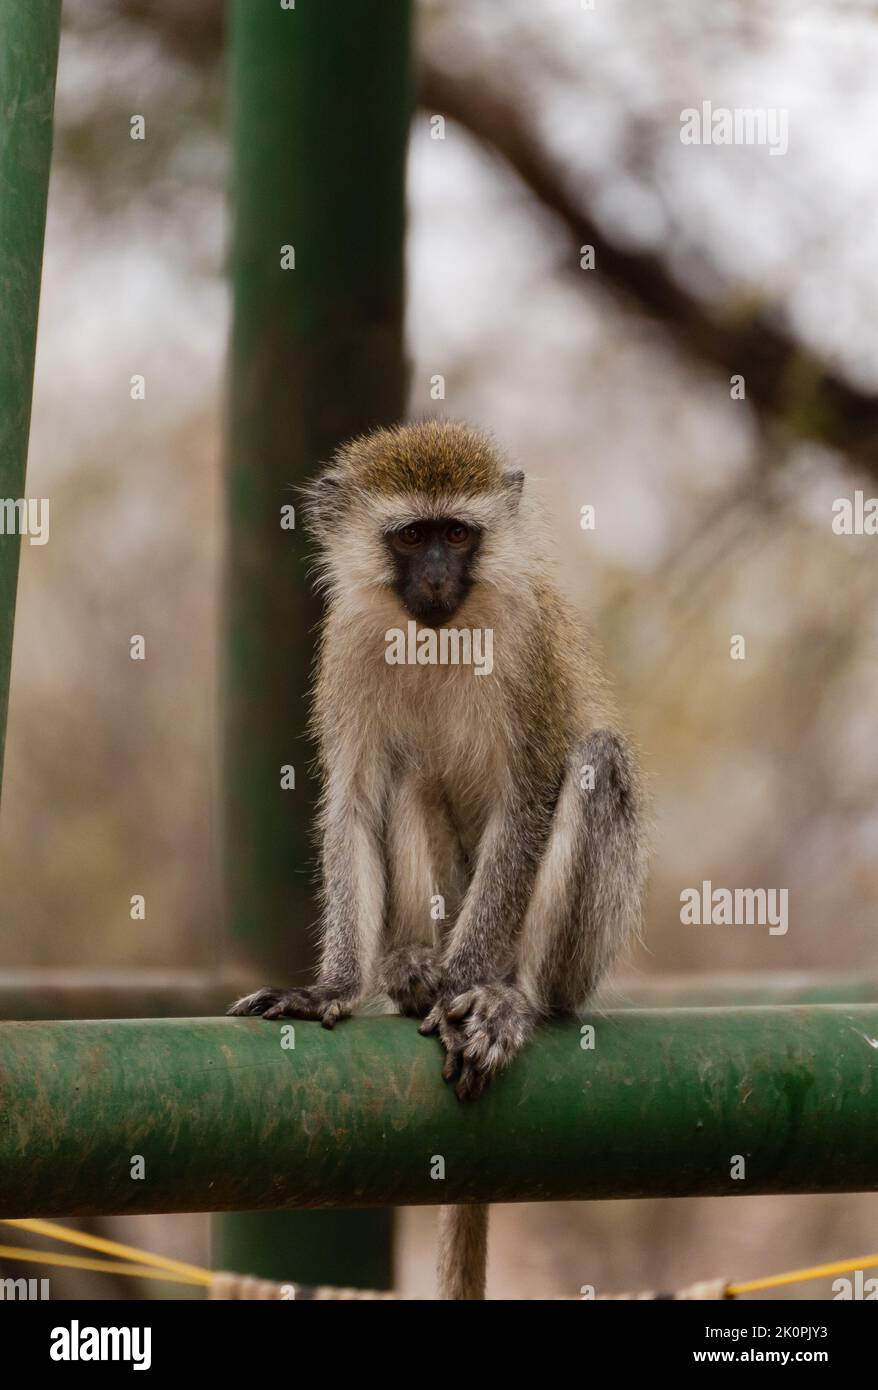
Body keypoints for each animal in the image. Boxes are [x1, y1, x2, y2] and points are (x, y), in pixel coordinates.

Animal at [229, 420, 647, 1299]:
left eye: (456, 535)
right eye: (410, 537)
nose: (432, 578)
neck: (438, 632)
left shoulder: (526, 645)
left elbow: (531, 800)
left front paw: (468, 990)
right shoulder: (348, 645)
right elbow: (355, 804)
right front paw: (334, 987)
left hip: (576, 957)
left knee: (597, 762)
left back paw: (510, 998)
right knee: (412, 778)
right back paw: (413, 967)